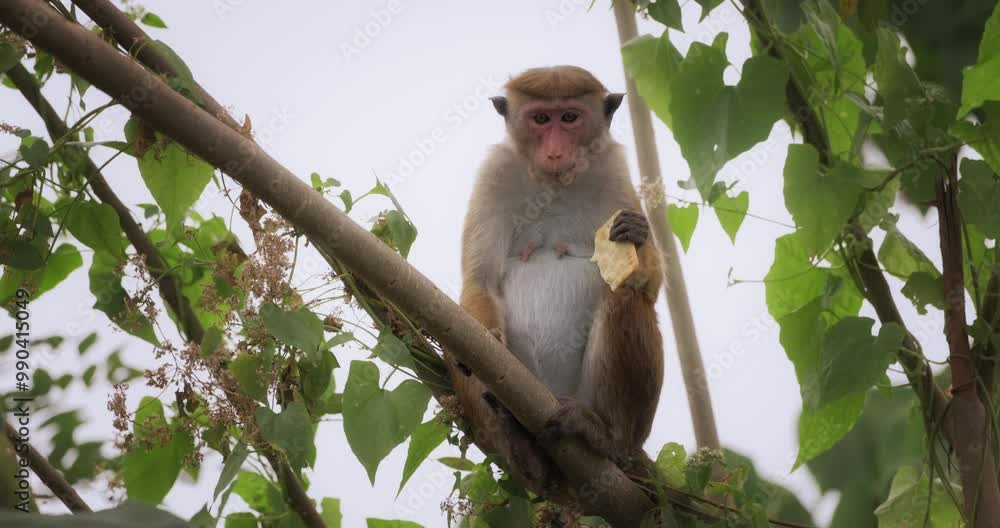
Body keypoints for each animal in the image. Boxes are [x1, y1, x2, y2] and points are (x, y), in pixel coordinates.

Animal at [444, 65, 664, 493]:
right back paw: (521, 447)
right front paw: (485, 341)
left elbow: (650, 285)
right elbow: (479, 282)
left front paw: (635, 236)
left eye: (570, 117)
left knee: (624, 298)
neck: (554, 183)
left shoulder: (613, 170)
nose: (556, 151)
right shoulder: (495, 173)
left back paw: (606, 436)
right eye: (542, 119)